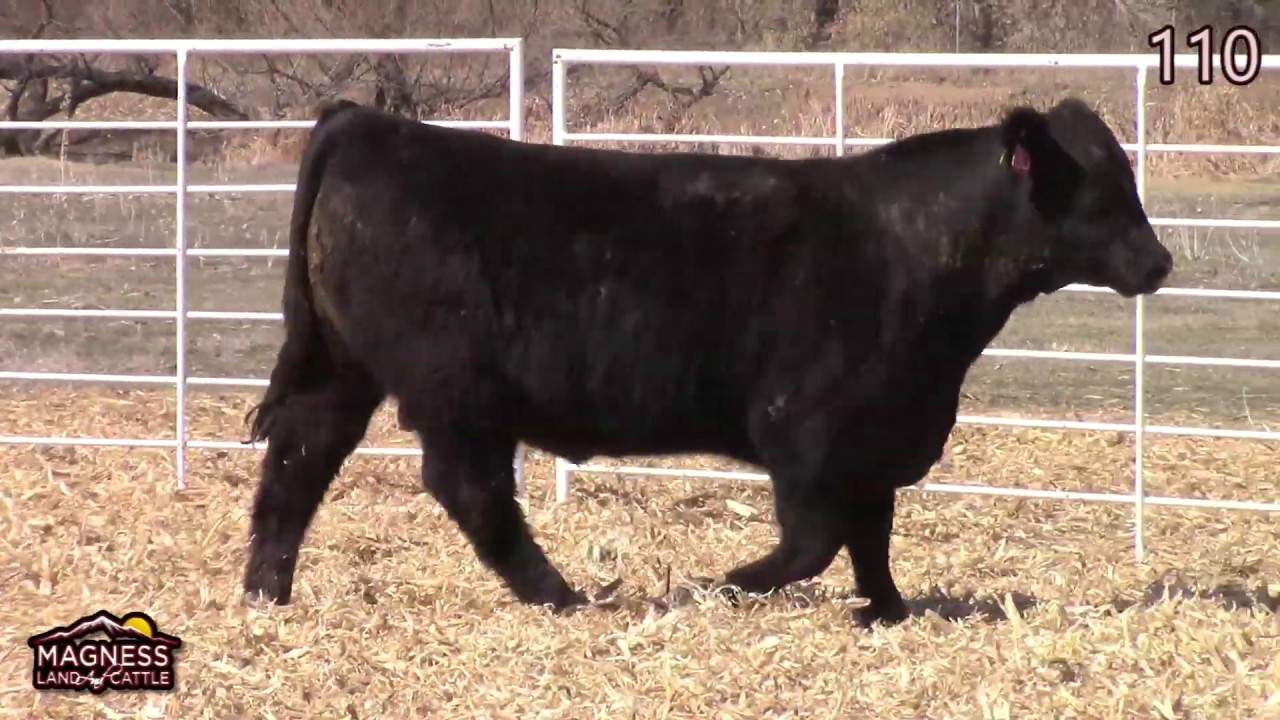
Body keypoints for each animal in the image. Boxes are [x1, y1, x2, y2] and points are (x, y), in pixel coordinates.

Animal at [241, 96, 1172, 628]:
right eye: (1100, 192)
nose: (1159, 261)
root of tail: (373, 124)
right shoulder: (807, 432)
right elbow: (814, 541)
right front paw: (721, 584)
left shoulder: (875, 439)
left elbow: (871, 535)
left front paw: (887, 611)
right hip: (455, 392)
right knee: (466, 489)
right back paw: (559, 595)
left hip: (341, 370)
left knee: (297, 462)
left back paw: (264, 592)